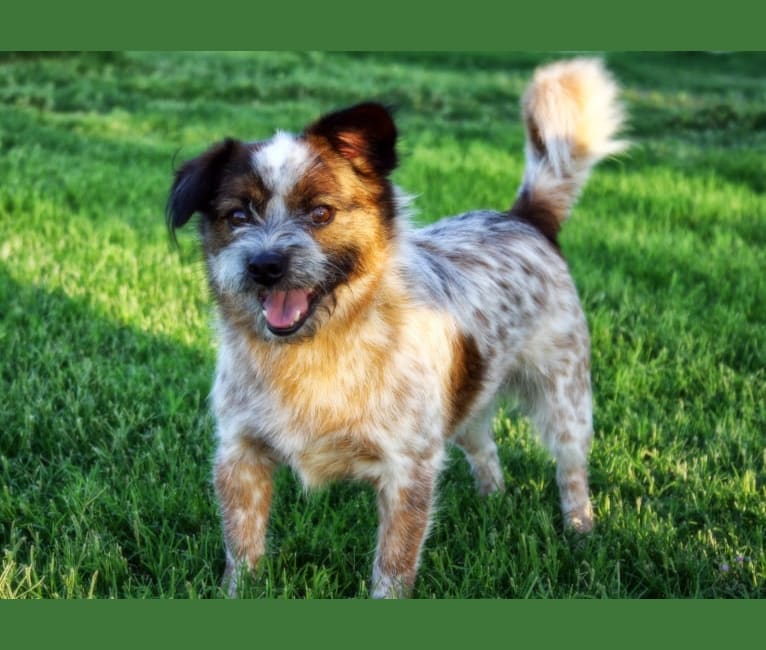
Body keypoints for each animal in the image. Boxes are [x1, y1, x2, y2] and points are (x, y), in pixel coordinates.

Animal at [168, 58, 632, 596]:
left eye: (320, 212)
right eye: (238, 215)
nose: (265, 265)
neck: (317, 347)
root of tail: (526, 218)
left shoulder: (408, 469)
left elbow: (393, 565)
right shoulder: (240, 455)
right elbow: (241, 548)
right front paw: (238, 591)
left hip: (565, 398)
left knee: (571, 468)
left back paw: (580, 530)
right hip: (468, 395)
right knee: (483, 444)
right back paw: (491, 499)